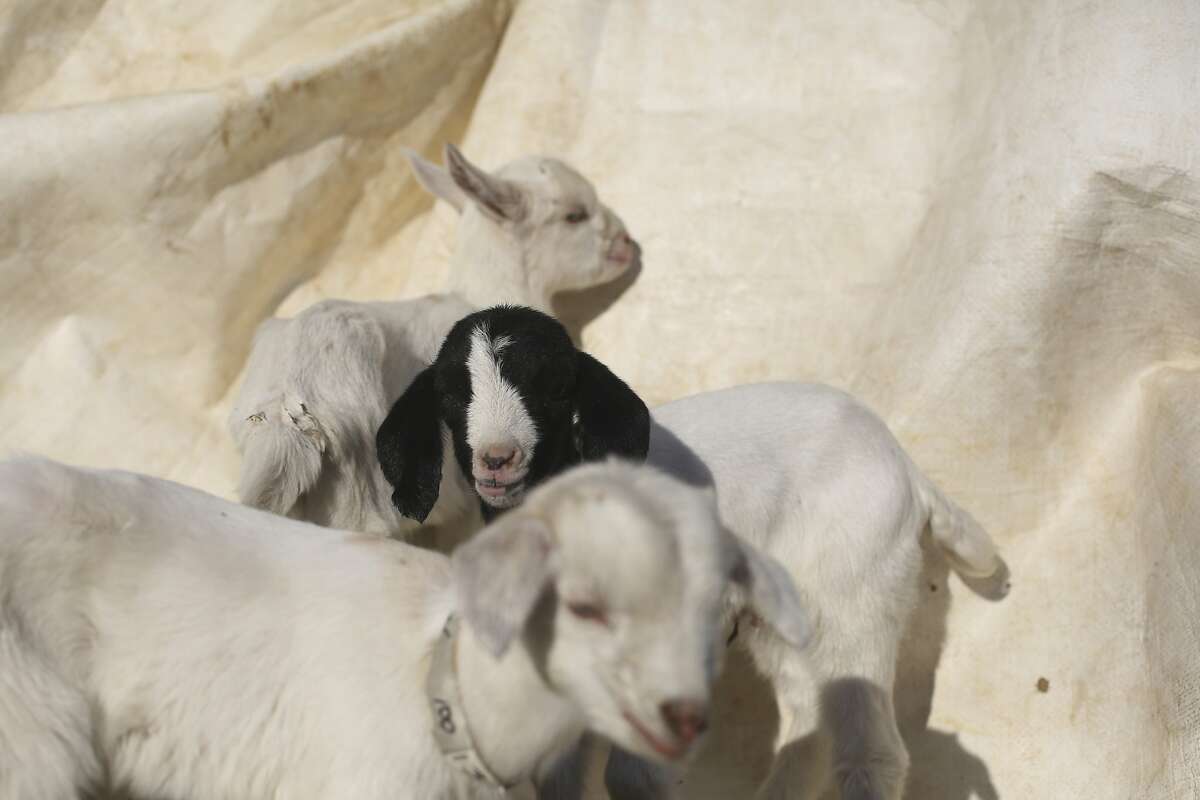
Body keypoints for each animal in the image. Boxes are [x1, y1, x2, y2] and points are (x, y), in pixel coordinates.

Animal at [376, 308, 1007, 800]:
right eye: (452, 394)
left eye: (553, 387)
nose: (497, 459)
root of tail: (907, 469)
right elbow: (561, 779)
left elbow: (632, 776)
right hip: (784, 619)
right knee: (810, 721)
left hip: (855, 598)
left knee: (873, 749)